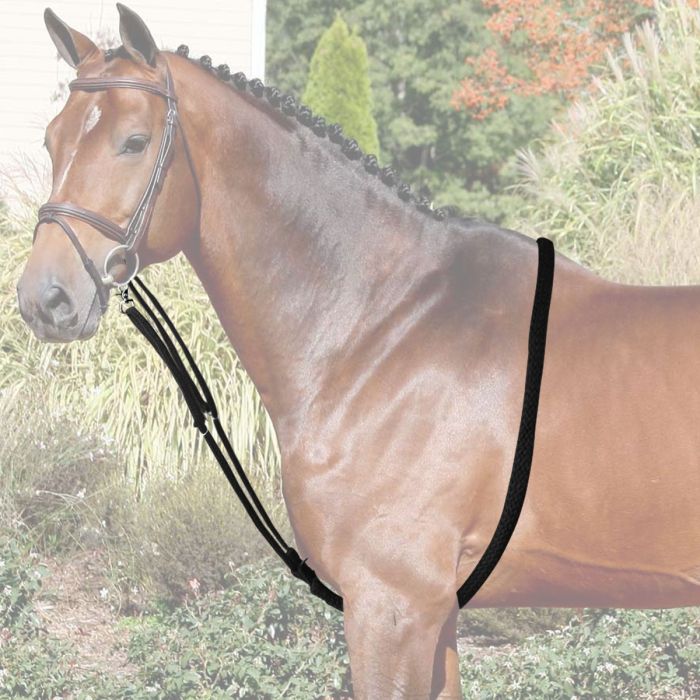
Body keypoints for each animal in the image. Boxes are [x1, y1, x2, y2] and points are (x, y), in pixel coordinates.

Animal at [16, 5, 700, 699]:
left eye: (133, 141)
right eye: (52, 140)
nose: (45, 297)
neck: (381, 328)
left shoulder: (390, 606)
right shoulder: (434, 615)